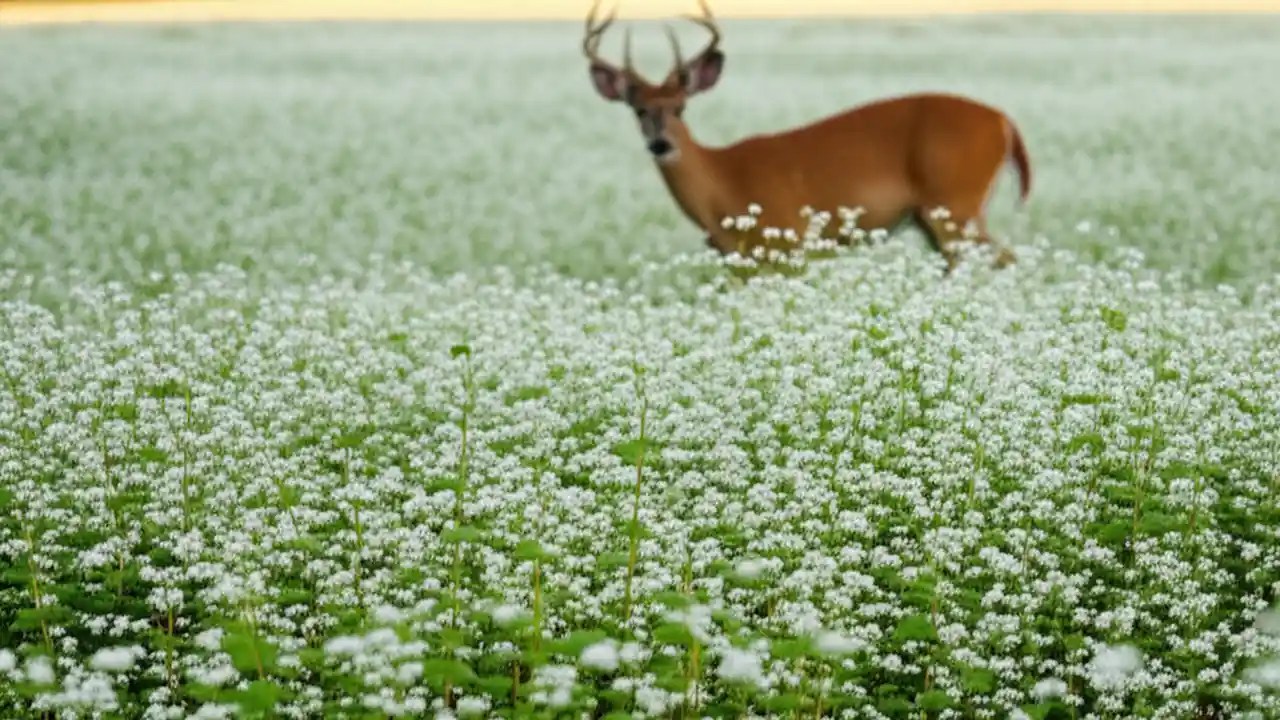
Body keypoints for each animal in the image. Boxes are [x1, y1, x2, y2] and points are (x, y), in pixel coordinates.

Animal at [582, 0, 1032, 272]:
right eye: (638, 109)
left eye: (680, 107)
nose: (661, 144)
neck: (721, 185)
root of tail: (1004, 120)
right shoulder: (735, 262)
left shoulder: (789, 241)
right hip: (936, 215)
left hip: (955, 203)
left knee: (1004, 256)